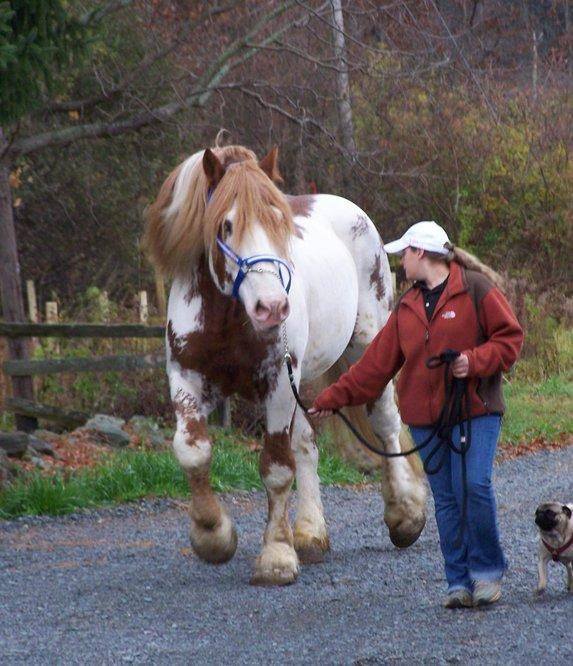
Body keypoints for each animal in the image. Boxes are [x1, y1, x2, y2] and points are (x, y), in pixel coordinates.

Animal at [144, 143, 427, 586]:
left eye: (280, 221)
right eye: (226, 225)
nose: (273, 307)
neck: (230, 316)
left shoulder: (277, 382)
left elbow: (276, 468)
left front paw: (276, 556)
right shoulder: (186, 378)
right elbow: (193, 451)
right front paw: (213, 535)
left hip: (365, 348)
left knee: (385, 424)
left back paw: (404, 515)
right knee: (308, 443)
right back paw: (310, 535)